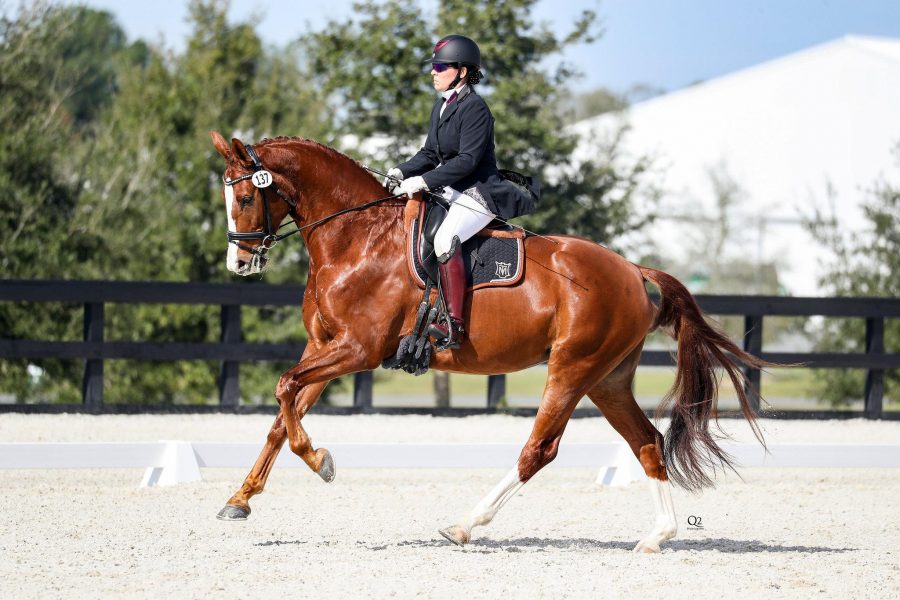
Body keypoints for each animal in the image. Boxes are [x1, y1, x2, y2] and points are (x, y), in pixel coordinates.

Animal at [209, 131, 769, 553]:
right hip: (607, 379)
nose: (238, 264)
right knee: (647, 442)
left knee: (540, 449)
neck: (357, 236)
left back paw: (464, 525)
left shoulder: (357, 350)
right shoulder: (322, 347)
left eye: (246, 197)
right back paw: (657, 536)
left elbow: (285, 391)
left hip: (572, 368)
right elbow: (282, 414)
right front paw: (240, 499)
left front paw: (320, 461)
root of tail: (632, 269)